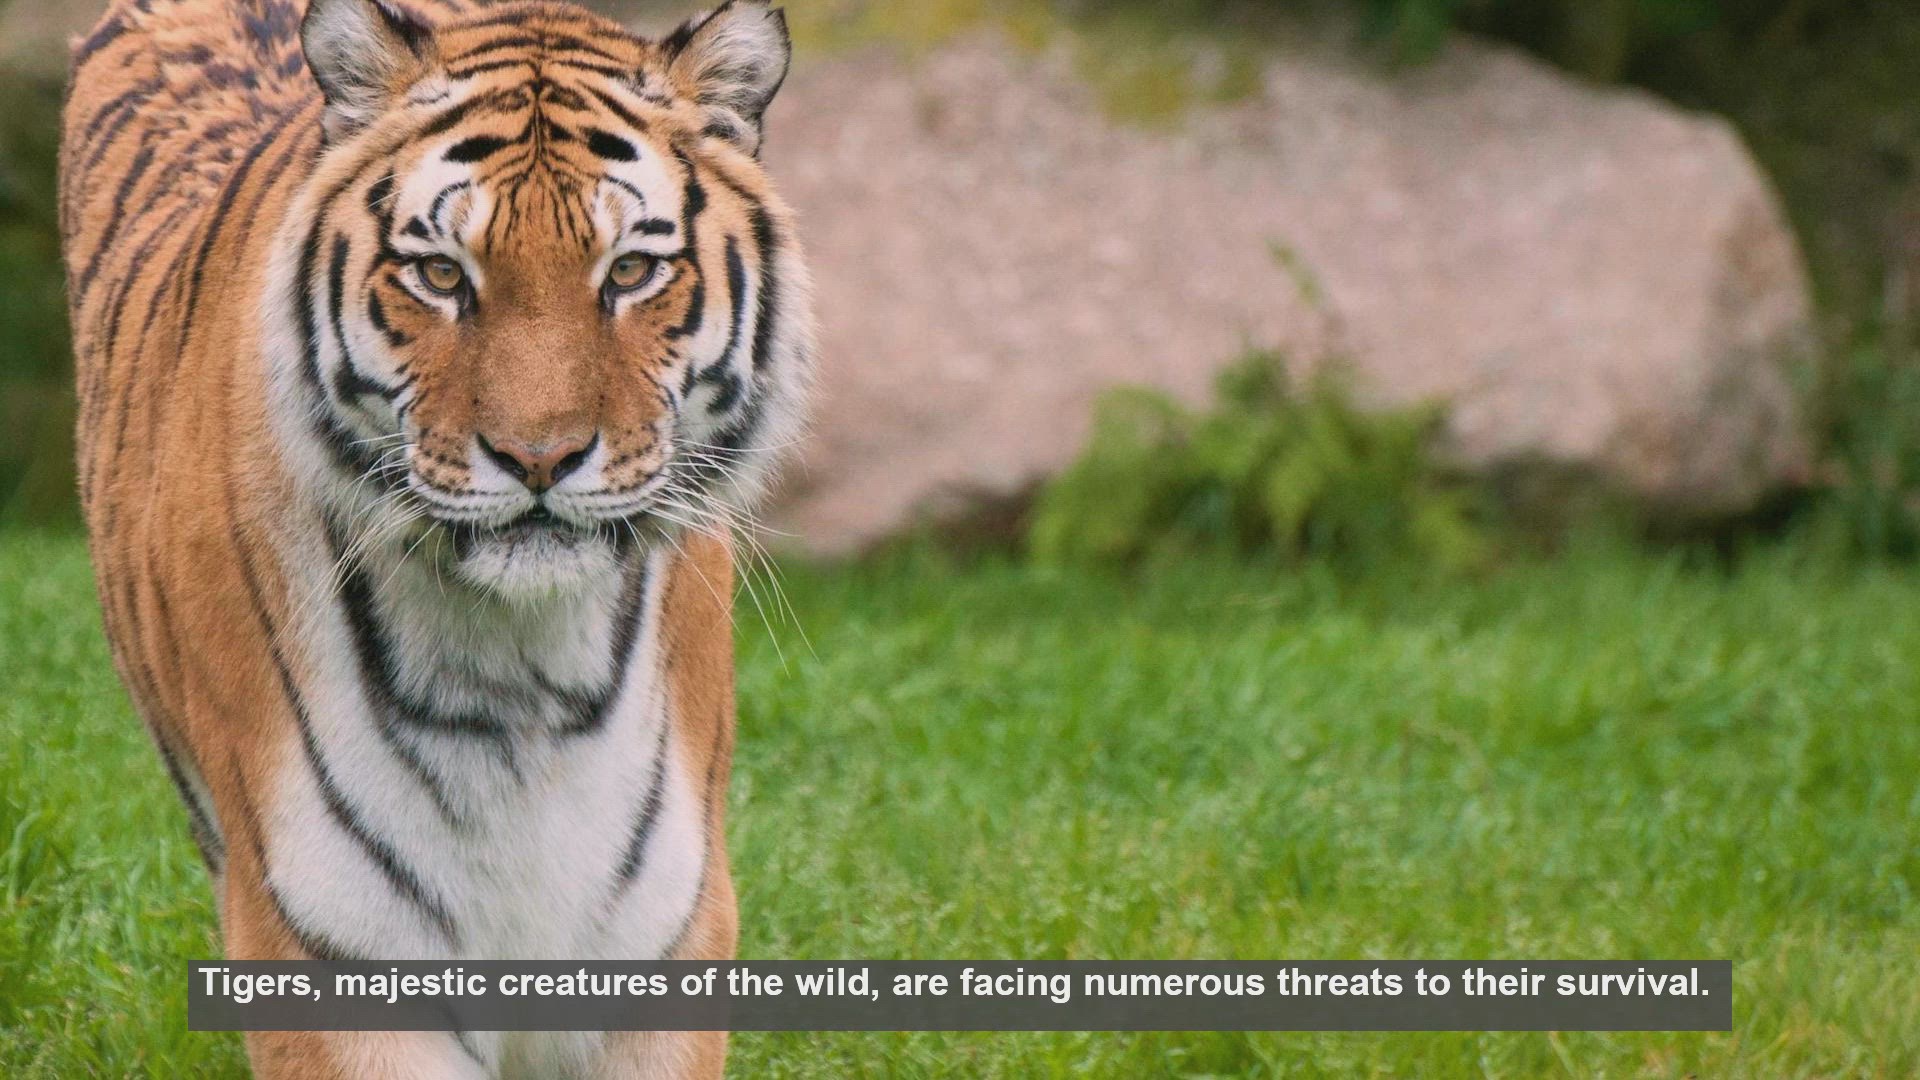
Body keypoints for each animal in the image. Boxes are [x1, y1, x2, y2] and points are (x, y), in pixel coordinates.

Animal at [59, 0, 813, 1074]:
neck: (521, 674)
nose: (539, 458)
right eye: (440, 275)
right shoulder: (323, 946)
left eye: (630, 270)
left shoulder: (667, 935)